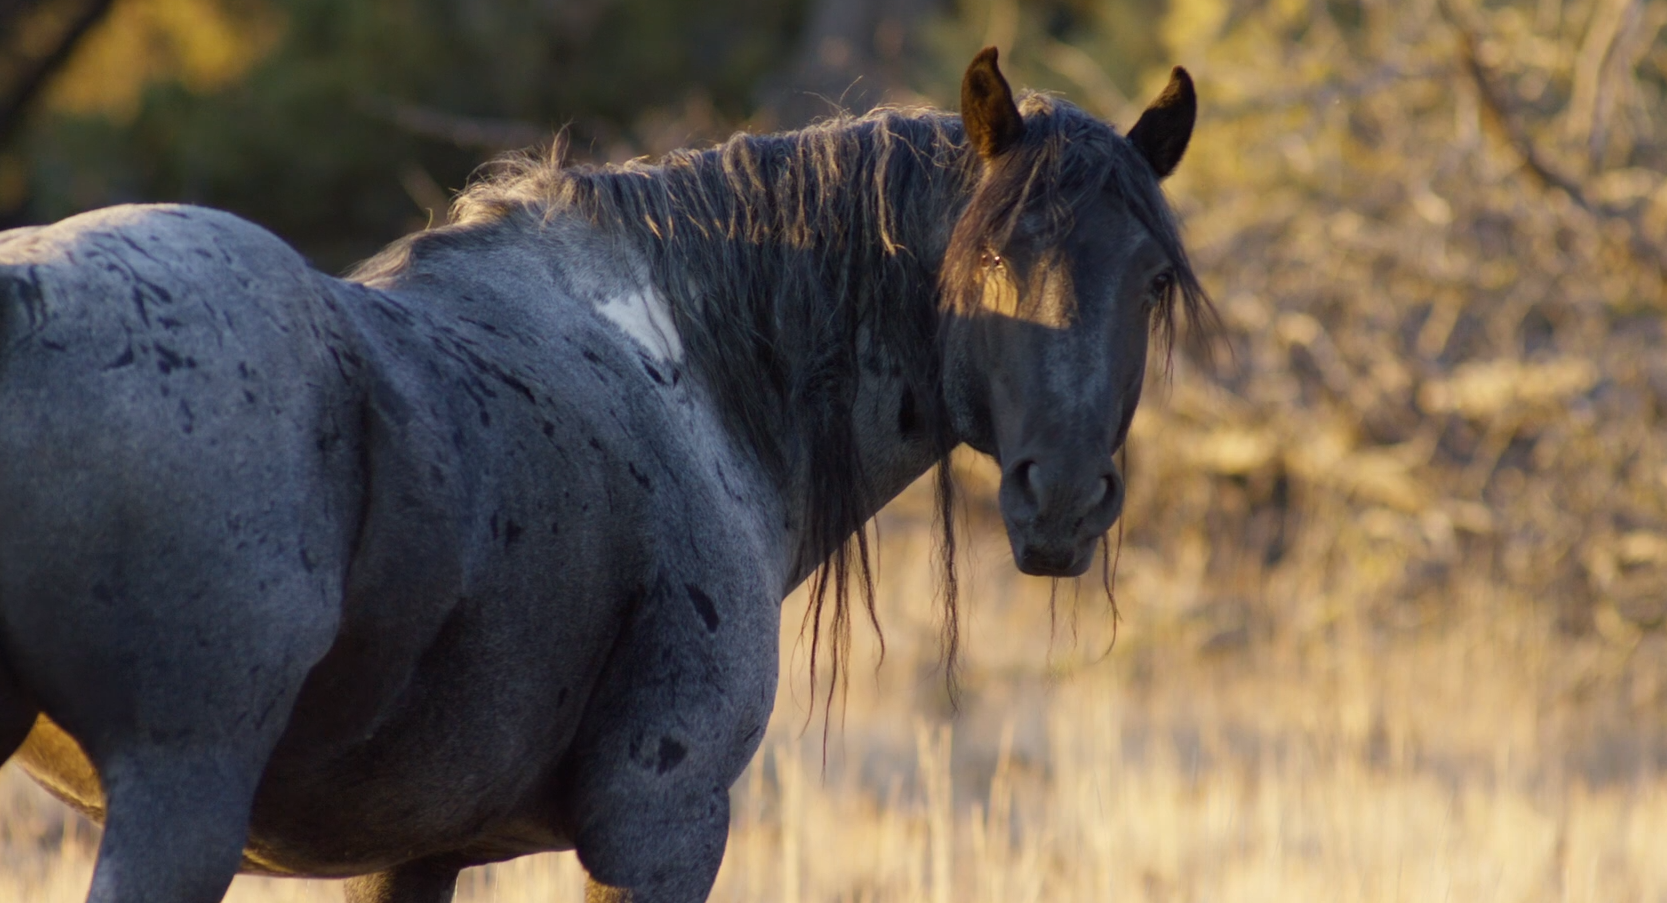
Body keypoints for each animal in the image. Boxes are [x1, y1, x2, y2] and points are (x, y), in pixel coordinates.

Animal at [0, 48, 1210, 903]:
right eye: (990, 256)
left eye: (1153, 281)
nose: (1062, 501)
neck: (695, 373)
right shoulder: (659, 823)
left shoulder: (407, 853)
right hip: (178, 804)